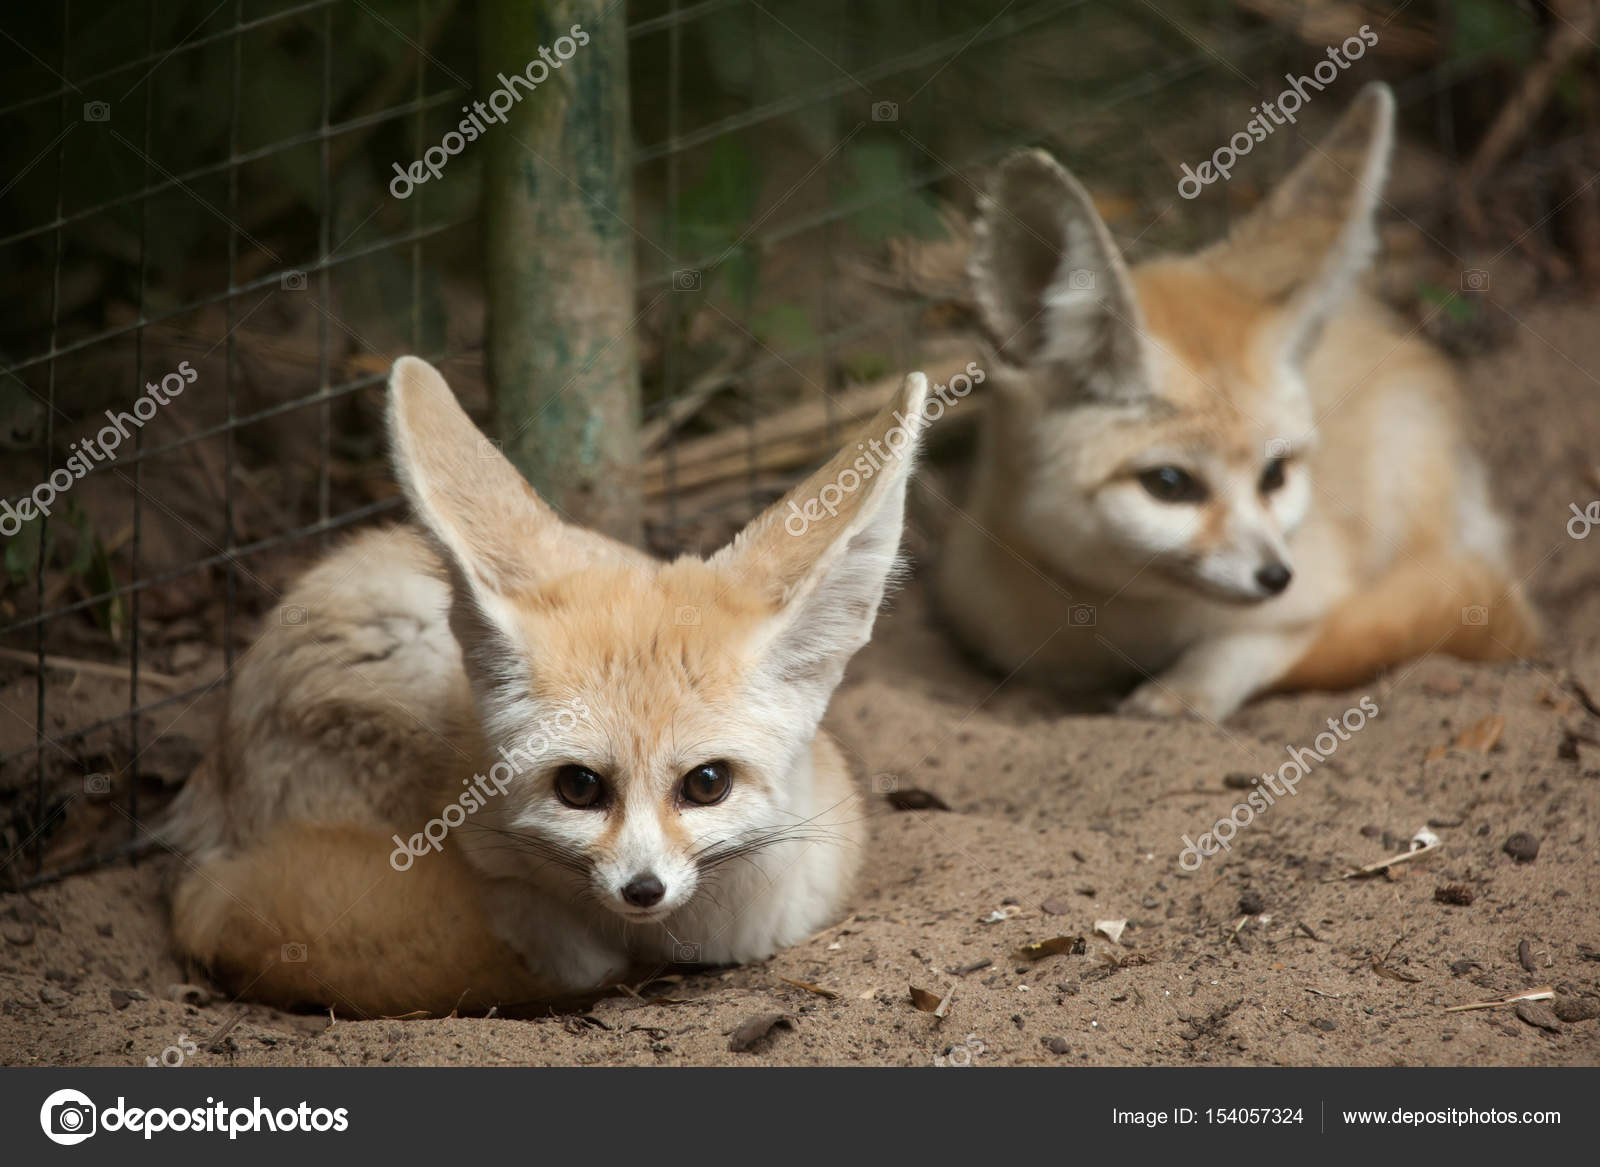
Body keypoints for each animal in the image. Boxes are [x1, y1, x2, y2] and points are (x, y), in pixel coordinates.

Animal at [938, 83, 1537, 722]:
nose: (1275, 576)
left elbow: (1272, 639)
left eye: (1275, 475)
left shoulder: (1323, 589)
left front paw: (1186, 688)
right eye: (1169, 484)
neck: (1127, 629)